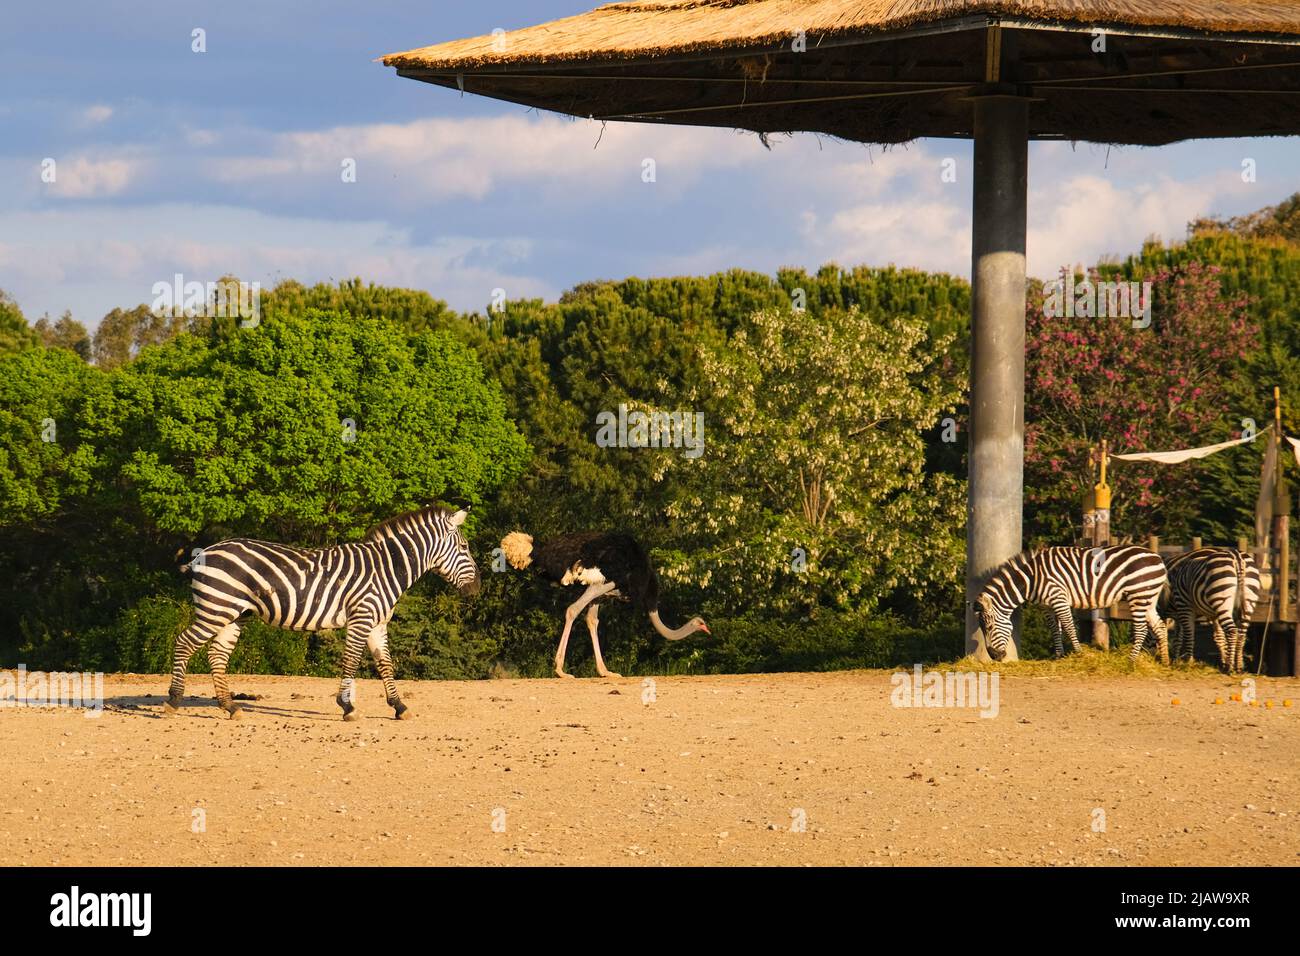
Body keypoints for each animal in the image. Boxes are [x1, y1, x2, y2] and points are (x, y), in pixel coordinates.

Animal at [164, 506, 480, 721]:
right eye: (464, 547)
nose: (476, 588)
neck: (386, 567)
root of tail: (204, 552)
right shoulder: (361, 617)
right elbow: (351, 661)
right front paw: (347, 706)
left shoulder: (377, 623)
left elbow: (385, 665)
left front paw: (399, 707)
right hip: (216, 608)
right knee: (184, 643)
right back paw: (174, 700)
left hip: (232, 613)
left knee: (217, 654)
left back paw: (229, 706)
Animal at [975, 545, 1169, 663]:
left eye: (989, 627)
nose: (994, 657)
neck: (1031, 578)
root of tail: (1158, 558)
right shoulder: (1046, 605)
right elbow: (1055, 628)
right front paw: (1059, 656)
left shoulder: (1058, 597)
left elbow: (1068, 626)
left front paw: (1079, 653)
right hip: (1148, 598)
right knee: (1160, 626)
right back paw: (1165, 663)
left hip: (1139, 595)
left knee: (1141, 629)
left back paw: (1130, 661)